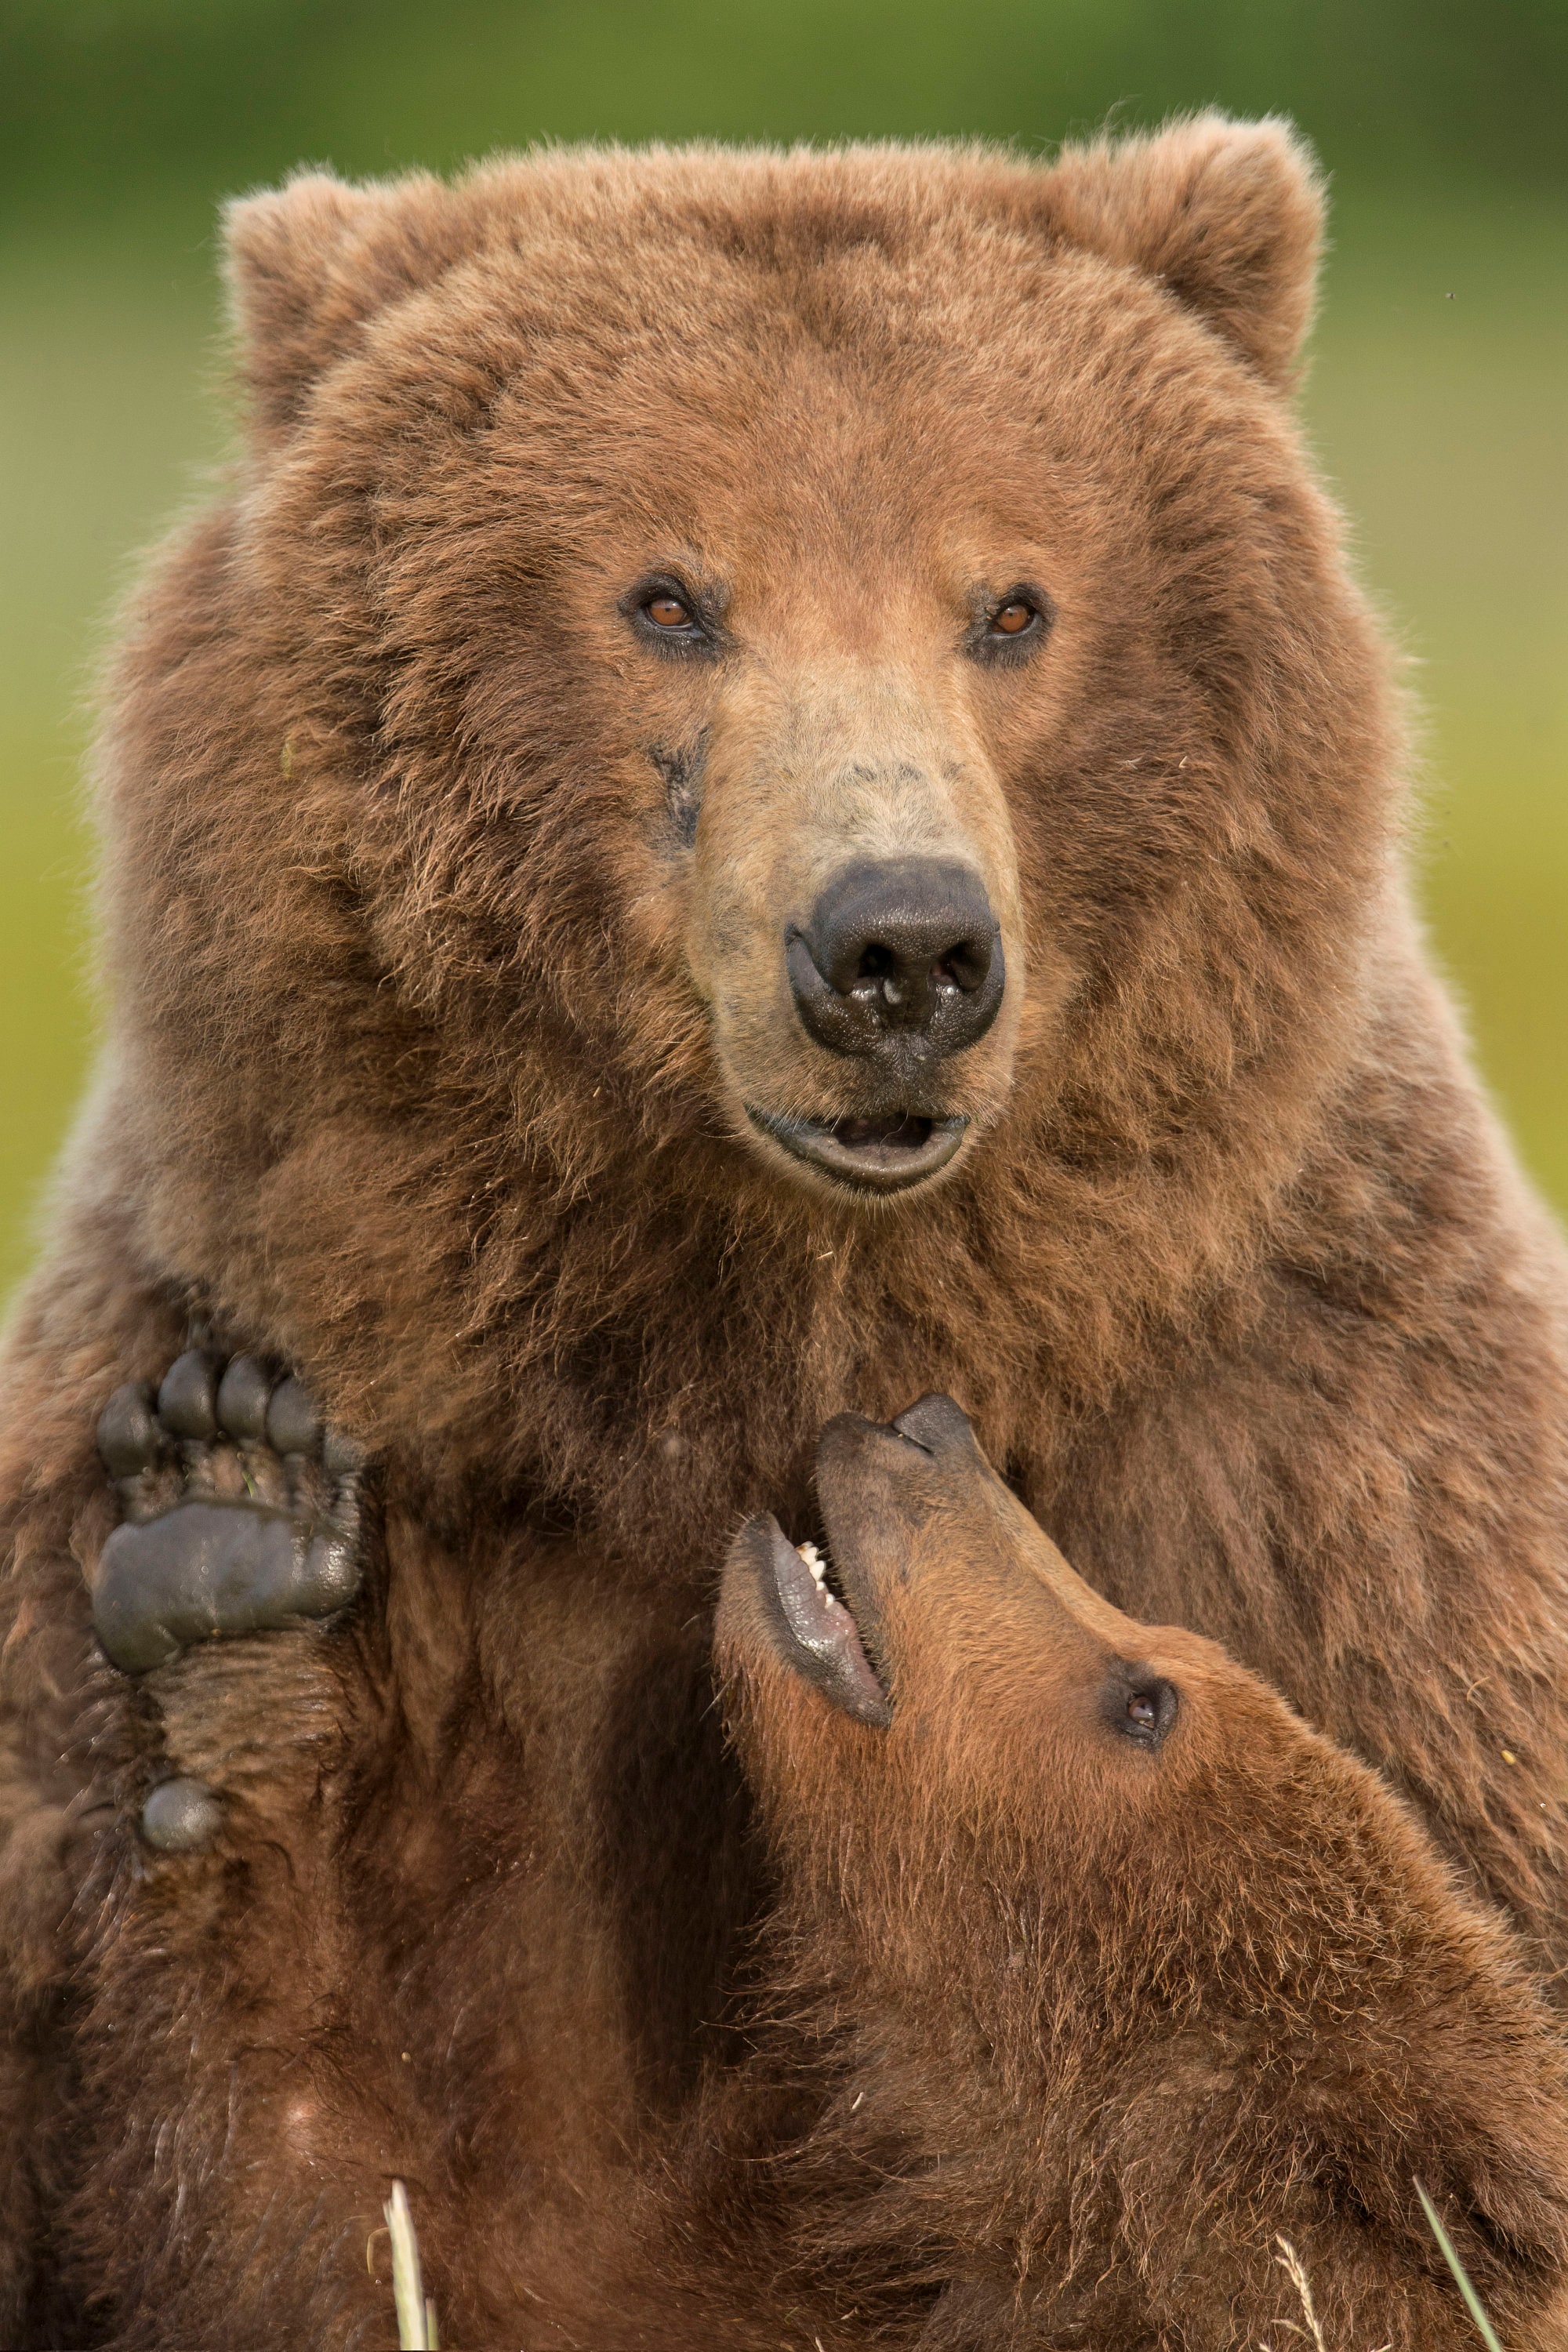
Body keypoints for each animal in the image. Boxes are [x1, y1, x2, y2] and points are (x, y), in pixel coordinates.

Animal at [3, 112, 1568, 2345]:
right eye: (667, 595)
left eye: (1012, 602)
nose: (899, 946)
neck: (743, 1328)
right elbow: (306, 2207)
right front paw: (226, 1559)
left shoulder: (1342, 1468)